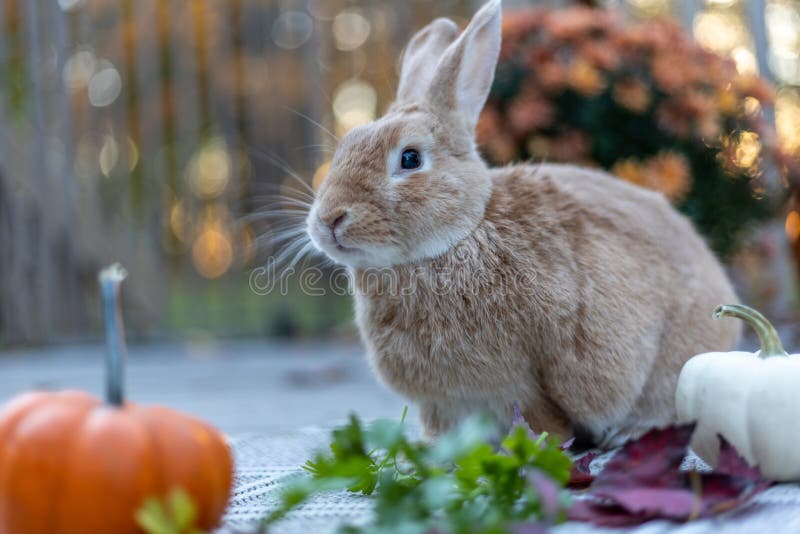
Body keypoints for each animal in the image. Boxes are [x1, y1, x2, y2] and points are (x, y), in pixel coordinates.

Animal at [305, 0, 740, 448]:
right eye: (347, 145)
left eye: (410, 158)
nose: (329, 219)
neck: (461, 235)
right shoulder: (441, 403)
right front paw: (428, 451)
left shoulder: (527, 383)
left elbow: (543, 419)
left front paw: (540, 447)